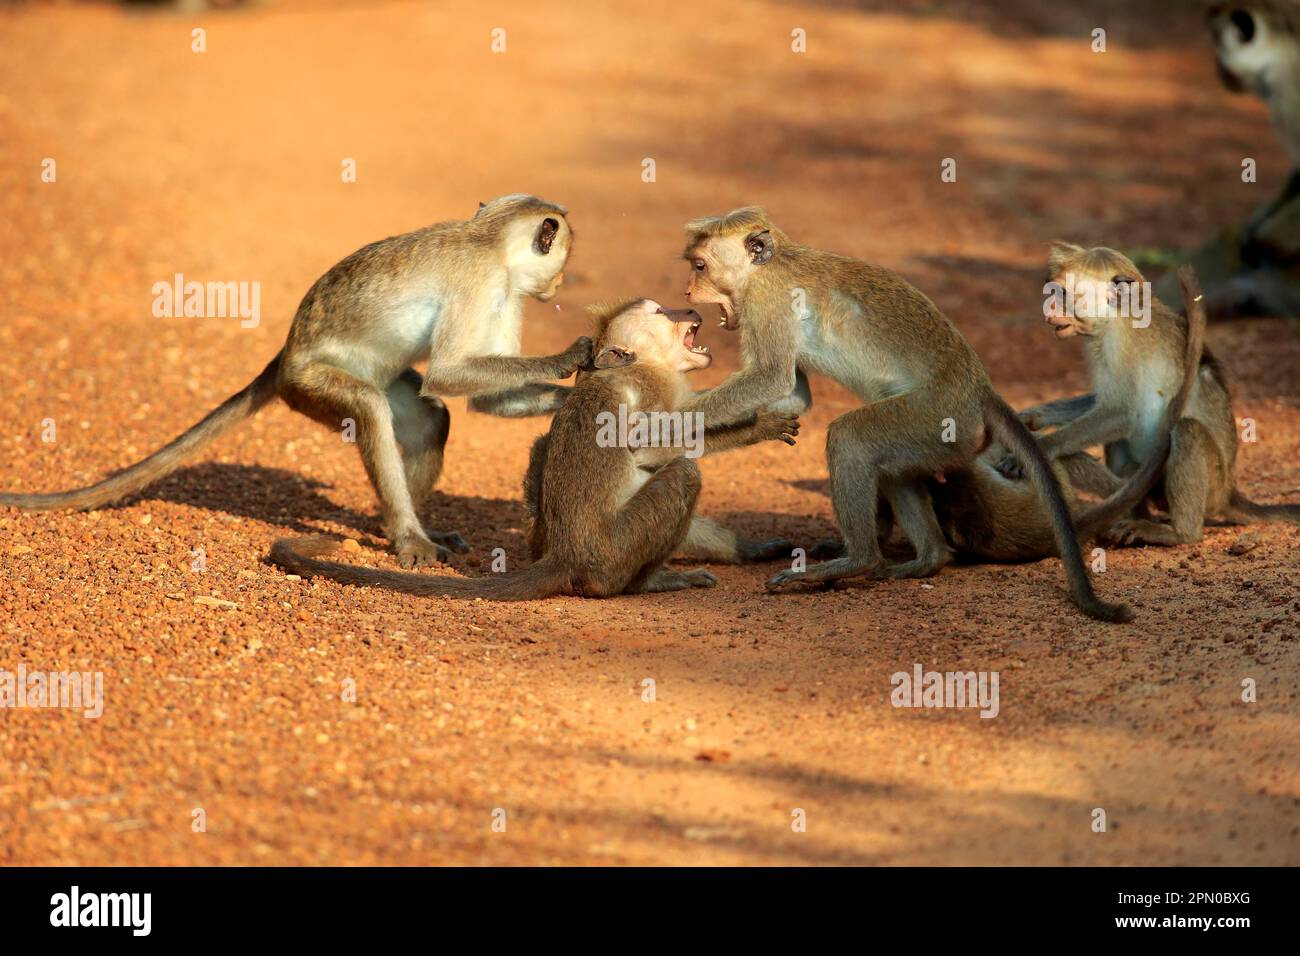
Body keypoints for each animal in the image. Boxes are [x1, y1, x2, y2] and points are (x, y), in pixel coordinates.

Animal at [0, 194, 593, 568]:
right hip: (309, 385)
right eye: (562, 254)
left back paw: (394, 528)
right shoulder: (483, 282)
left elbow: (479, 402)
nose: (562, 281)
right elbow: (448, 374)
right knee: (372, 408)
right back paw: (407, 536)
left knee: (428, 417)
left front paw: (574, 397)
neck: (488, 238)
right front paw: (570, 356)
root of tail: (286, 353)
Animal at [269, 298, 801, 599]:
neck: (644, 367)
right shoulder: (652, 391)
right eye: (661, 313)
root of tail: (566, 554)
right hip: (612, 553)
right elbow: (648, 450)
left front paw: (752, 549)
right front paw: (759, 424)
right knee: (683, 474)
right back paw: (645, 584)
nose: (690, 312)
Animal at [677, 207, 1130, 622]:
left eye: (700, 266)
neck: (771, 265)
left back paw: (859, 560)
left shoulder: (765, 303)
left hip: (937, 417)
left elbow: (770, 378)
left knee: (852, 437)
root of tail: (980, 391)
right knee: (895, 470)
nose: (687, 293)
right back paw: (927, 559)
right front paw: (761, 425)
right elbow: (792, 395)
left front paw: (677, 415)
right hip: (934, 439)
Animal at [998, 243, 1300, 546]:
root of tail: (1229, 493)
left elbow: (1121, 414)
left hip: (1214, 487)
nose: (1049, 309)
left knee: (1187, 430)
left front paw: (1040, 448)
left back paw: (1178, 533)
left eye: (1061, 293)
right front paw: (1031, 417)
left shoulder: (1119, 343)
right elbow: (1104, 404)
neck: (1117, 314)